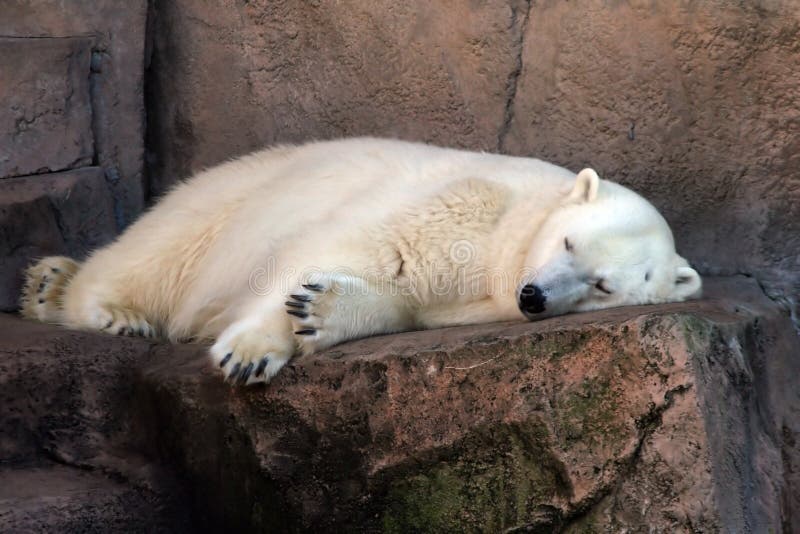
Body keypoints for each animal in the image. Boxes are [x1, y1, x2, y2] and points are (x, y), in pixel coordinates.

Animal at [20, 137, 701, 385]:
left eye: (602, 286)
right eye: (568, 244)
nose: (533, 297)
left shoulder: (471, 297)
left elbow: (399, 298)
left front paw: (321, 310)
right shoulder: (469, 201)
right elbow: (360, 246)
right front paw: (250, 353)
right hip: (227, 200)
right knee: (159, 251)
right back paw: (91, 302)